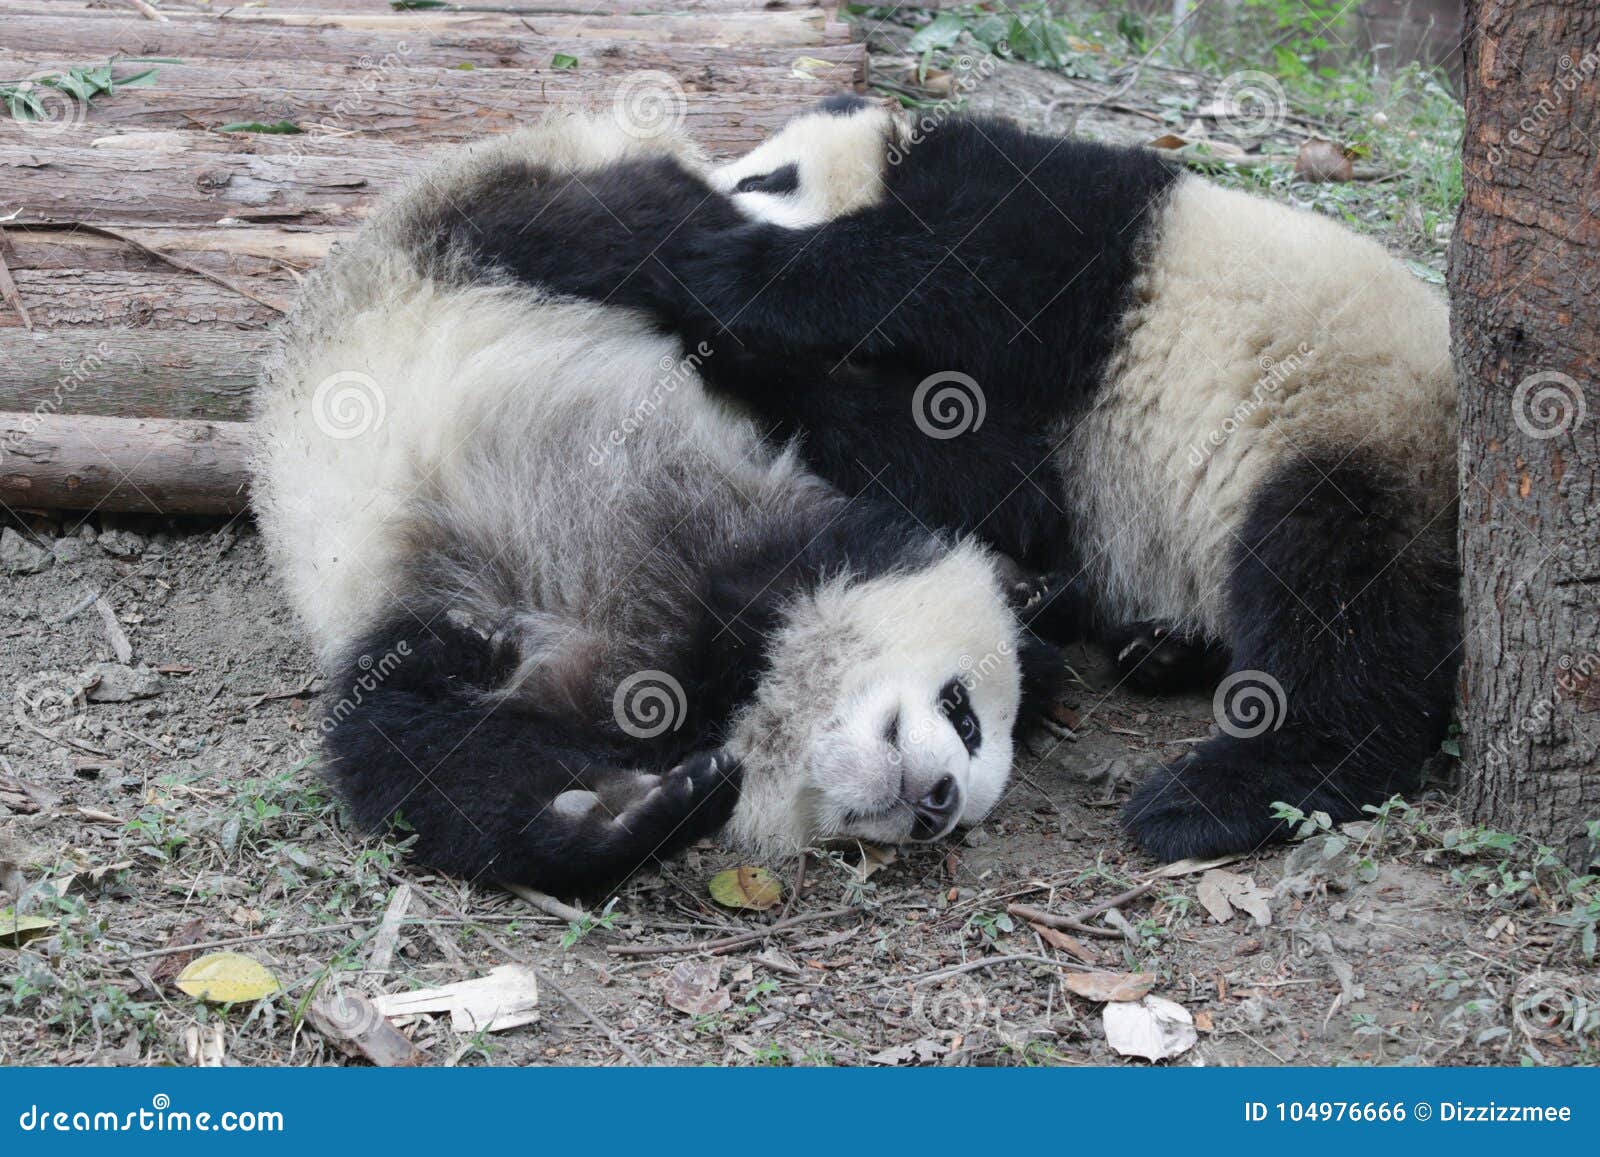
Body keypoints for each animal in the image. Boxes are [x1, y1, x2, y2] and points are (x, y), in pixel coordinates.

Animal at [250, 114, 1059, 895]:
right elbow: (401, 742)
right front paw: (633, 813)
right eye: (963, 712)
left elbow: (418, 741)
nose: (941, 802)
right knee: (627, 231)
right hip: (472, 241)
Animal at [647, 95, 1460, 863]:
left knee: (1338, 607)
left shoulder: (1061, 222)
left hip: (1352, 433)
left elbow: (957, 267)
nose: (710, 197)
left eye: (767, 179)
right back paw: (1159, 647)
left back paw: (1214, 795)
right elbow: (998, 484)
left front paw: (714, 264)